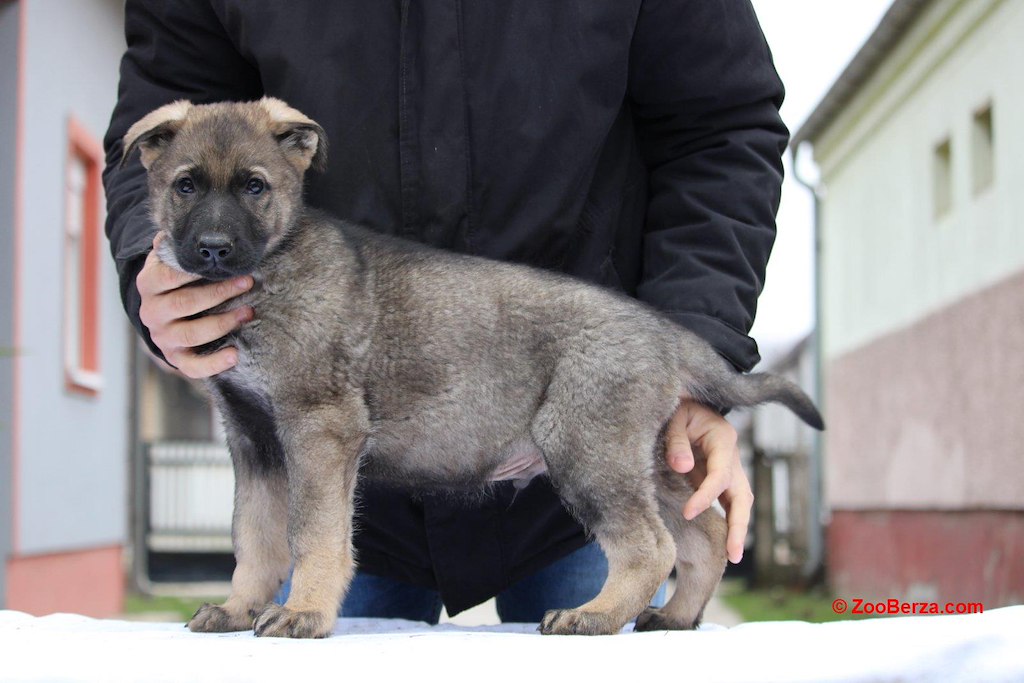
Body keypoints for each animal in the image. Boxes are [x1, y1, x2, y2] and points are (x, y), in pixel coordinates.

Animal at [121, 97, 823, 643]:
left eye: (254, 186)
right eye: (186, 185)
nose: (213, 250)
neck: (271, 270)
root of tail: (663, 331)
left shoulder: (318, 429)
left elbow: (313, 533)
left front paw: (304, 613)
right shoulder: (255, 441)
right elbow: (256, 537)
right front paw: (240, 608)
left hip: (585, 449)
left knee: (652, 545)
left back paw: (592, 617)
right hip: (645, 456)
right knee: (705, 532)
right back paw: (675, 618)